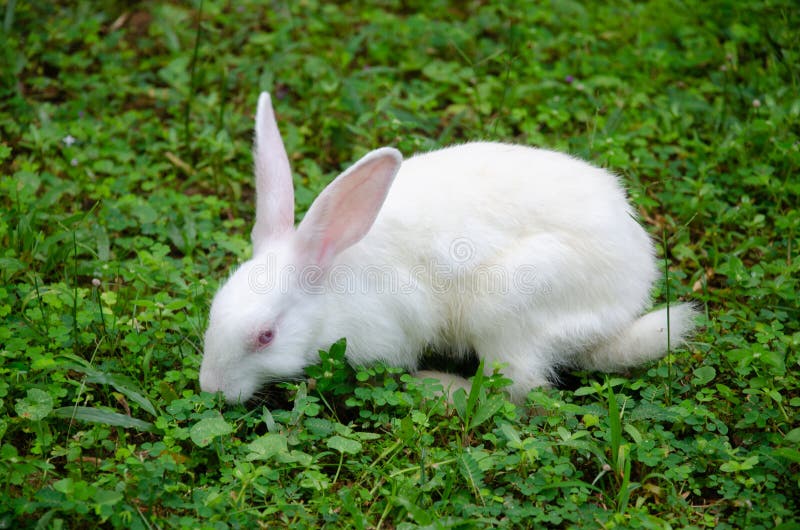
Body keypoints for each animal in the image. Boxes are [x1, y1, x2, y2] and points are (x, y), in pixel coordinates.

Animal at [199, 92, 697, 405]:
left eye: (266, 336)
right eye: (213, 310)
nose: (211, 388)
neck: (331, 283)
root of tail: (625, 306)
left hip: (505, 304)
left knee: (518, 389)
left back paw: (435, 387)